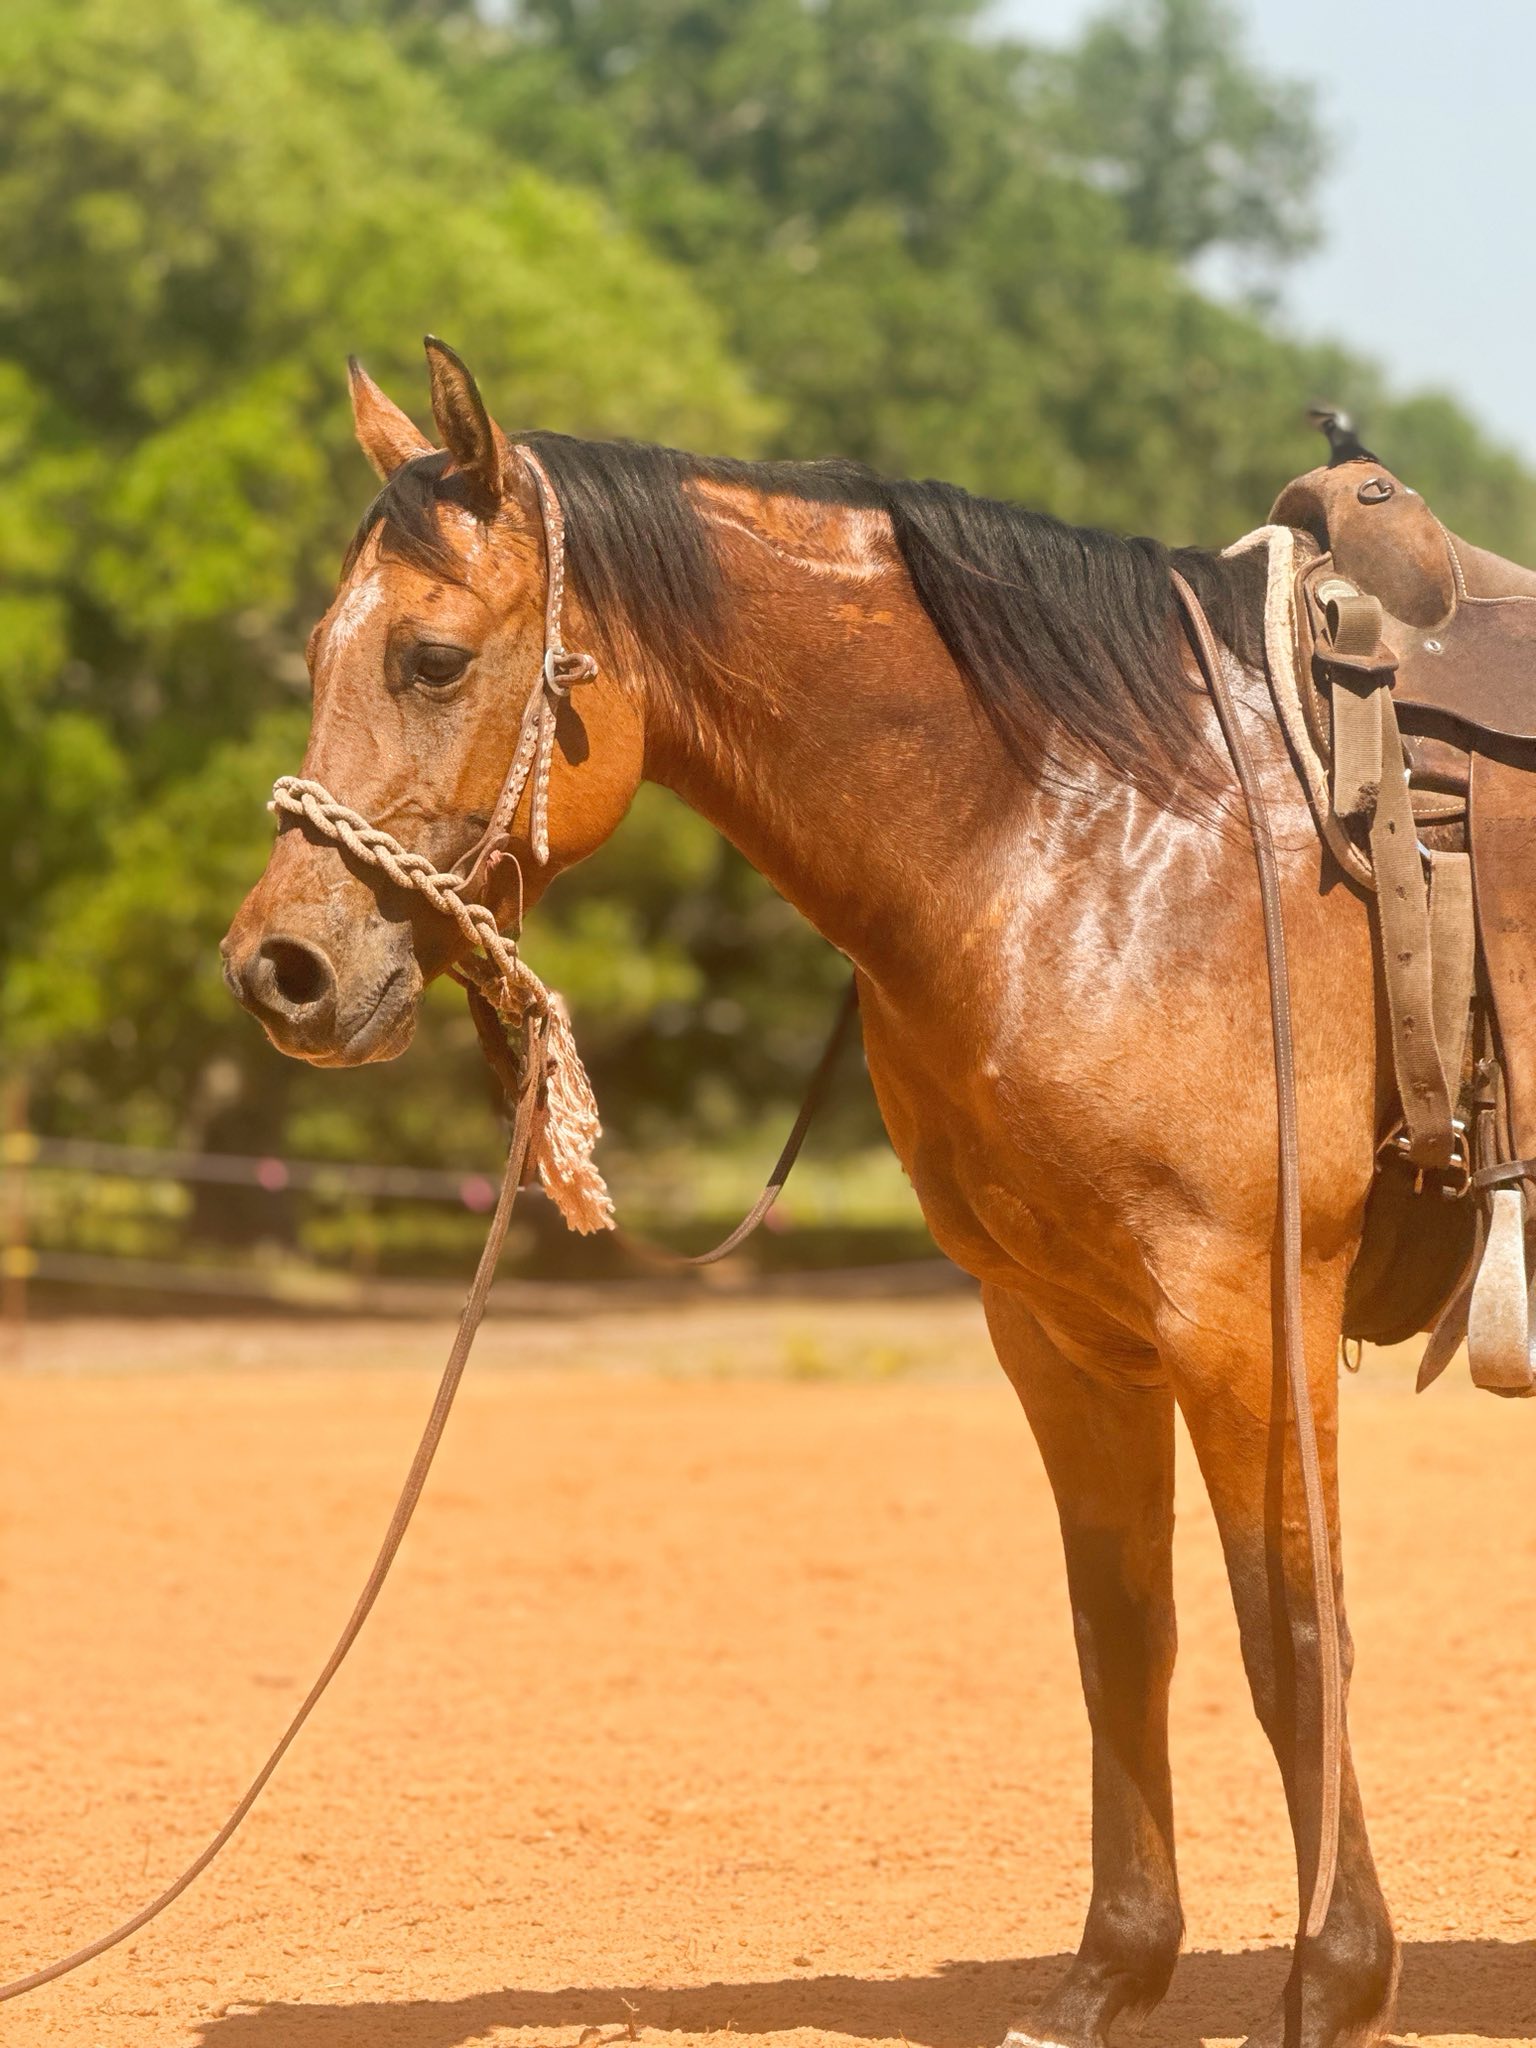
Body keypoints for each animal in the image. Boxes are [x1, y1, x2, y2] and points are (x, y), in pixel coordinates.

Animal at [223, 338, 1398, 2048]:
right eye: (317, 648)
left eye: (432, 659)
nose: (280, 969)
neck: (1109, 837)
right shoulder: (1061, 1325)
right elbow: (1124, 1630)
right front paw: (1111, 1974)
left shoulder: (1249, 1312)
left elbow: (1293, 1634)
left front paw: (1336, 1984)